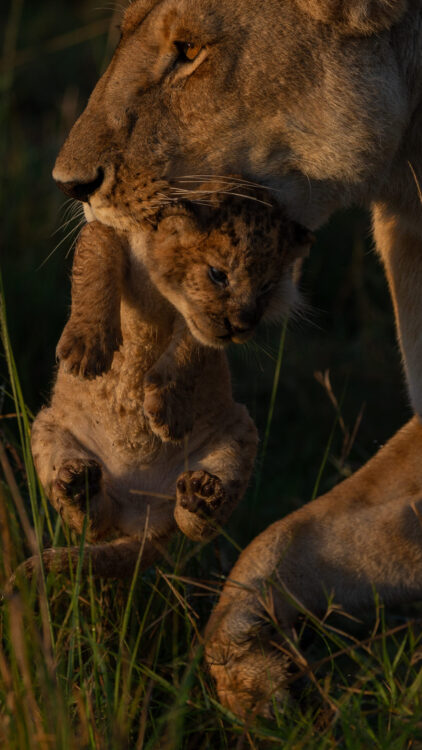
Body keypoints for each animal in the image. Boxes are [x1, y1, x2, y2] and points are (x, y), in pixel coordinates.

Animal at [28, 195, 311, 578]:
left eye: (267, 287)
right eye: (218, 275)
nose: (240, 327)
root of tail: (143, 522)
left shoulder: (199, 319)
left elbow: (193, 345)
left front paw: (168, 411)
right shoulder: (106, 228)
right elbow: (94, 251)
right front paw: (86, 348)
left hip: (239, 434)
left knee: (194, 524)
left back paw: (201, 494)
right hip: (46, 428)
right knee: (92, 521)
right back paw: (77, 486)